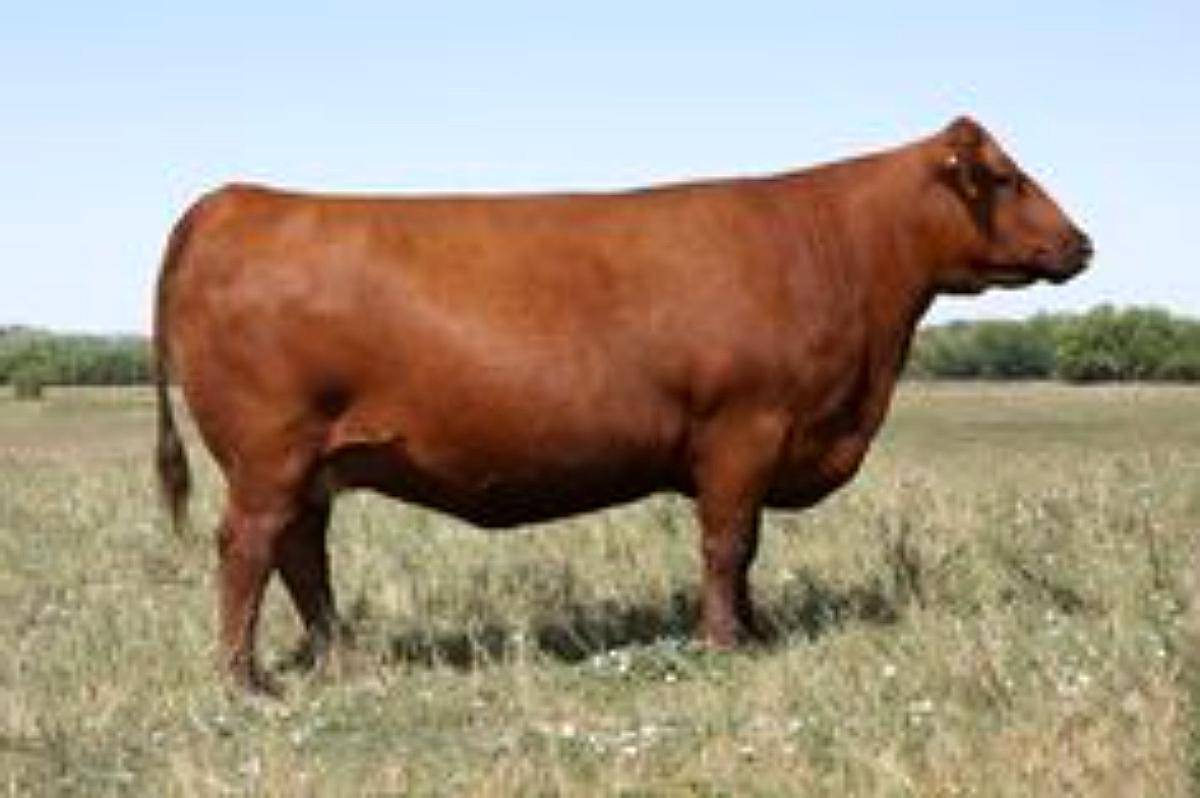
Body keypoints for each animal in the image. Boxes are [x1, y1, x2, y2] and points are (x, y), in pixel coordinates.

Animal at [153, 116, 1091, 691]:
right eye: (1006, 176)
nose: (1082, 242)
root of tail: (236, 199)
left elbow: (745, 553)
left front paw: (755, 632)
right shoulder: (744, 430)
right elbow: (727, 545)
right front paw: (724, 644)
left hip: (311, 462)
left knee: (301, 553)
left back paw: (338, 659)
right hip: (269, 452)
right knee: (248, 548)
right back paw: (244, 681)